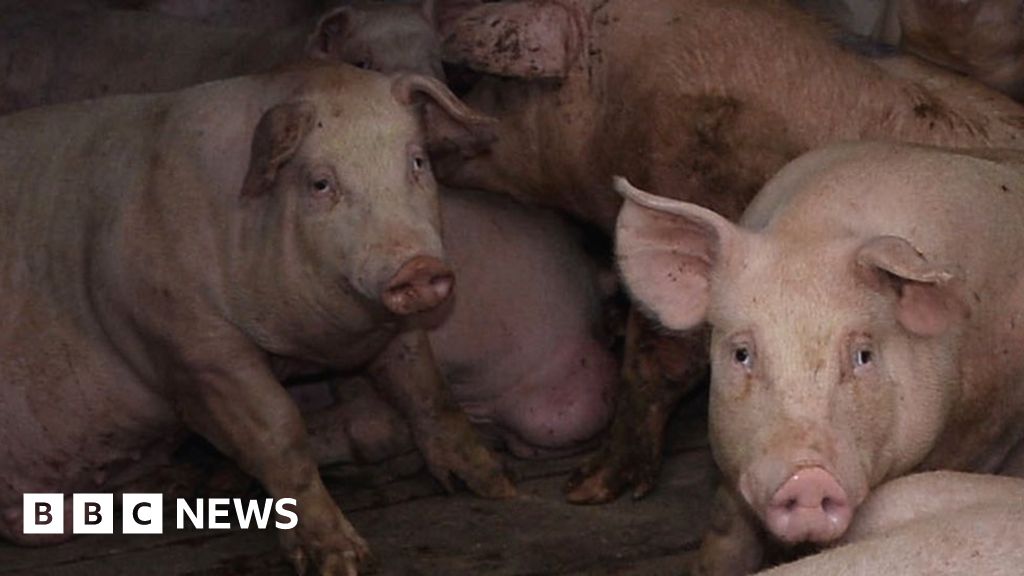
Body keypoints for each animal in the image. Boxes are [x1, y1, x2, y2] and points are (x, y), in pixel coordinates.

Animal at [0, 63, 513, 576]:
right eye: (320, 183)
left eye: (417, 162)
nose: (418, 267)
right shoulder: (194, 348)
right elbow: (280, 435)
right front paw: (346, 561)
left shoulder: (393, 332)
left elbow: (427, 389)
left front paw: (495, 486)